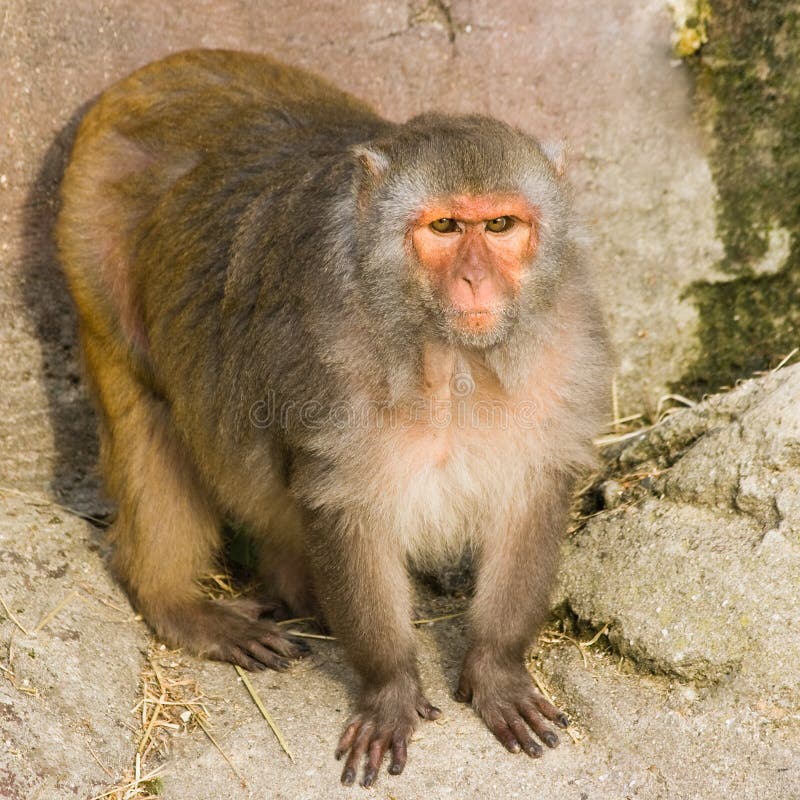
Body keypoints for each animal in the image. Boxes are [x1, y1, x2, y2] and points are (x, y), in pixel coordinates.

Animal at [56, 49, 612, 787]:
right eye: (444, 228)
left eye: (499, 226)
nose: (474, 281)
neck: (447, 357)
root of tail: (154, 74)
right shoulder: (336, 375)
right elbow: (351, 511)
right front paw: (389, 688)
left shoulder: (562, 352)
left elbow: (529, 496)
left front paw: (496, 669)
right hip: (89, 241)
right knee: (146, 404)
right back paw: (179, 604)